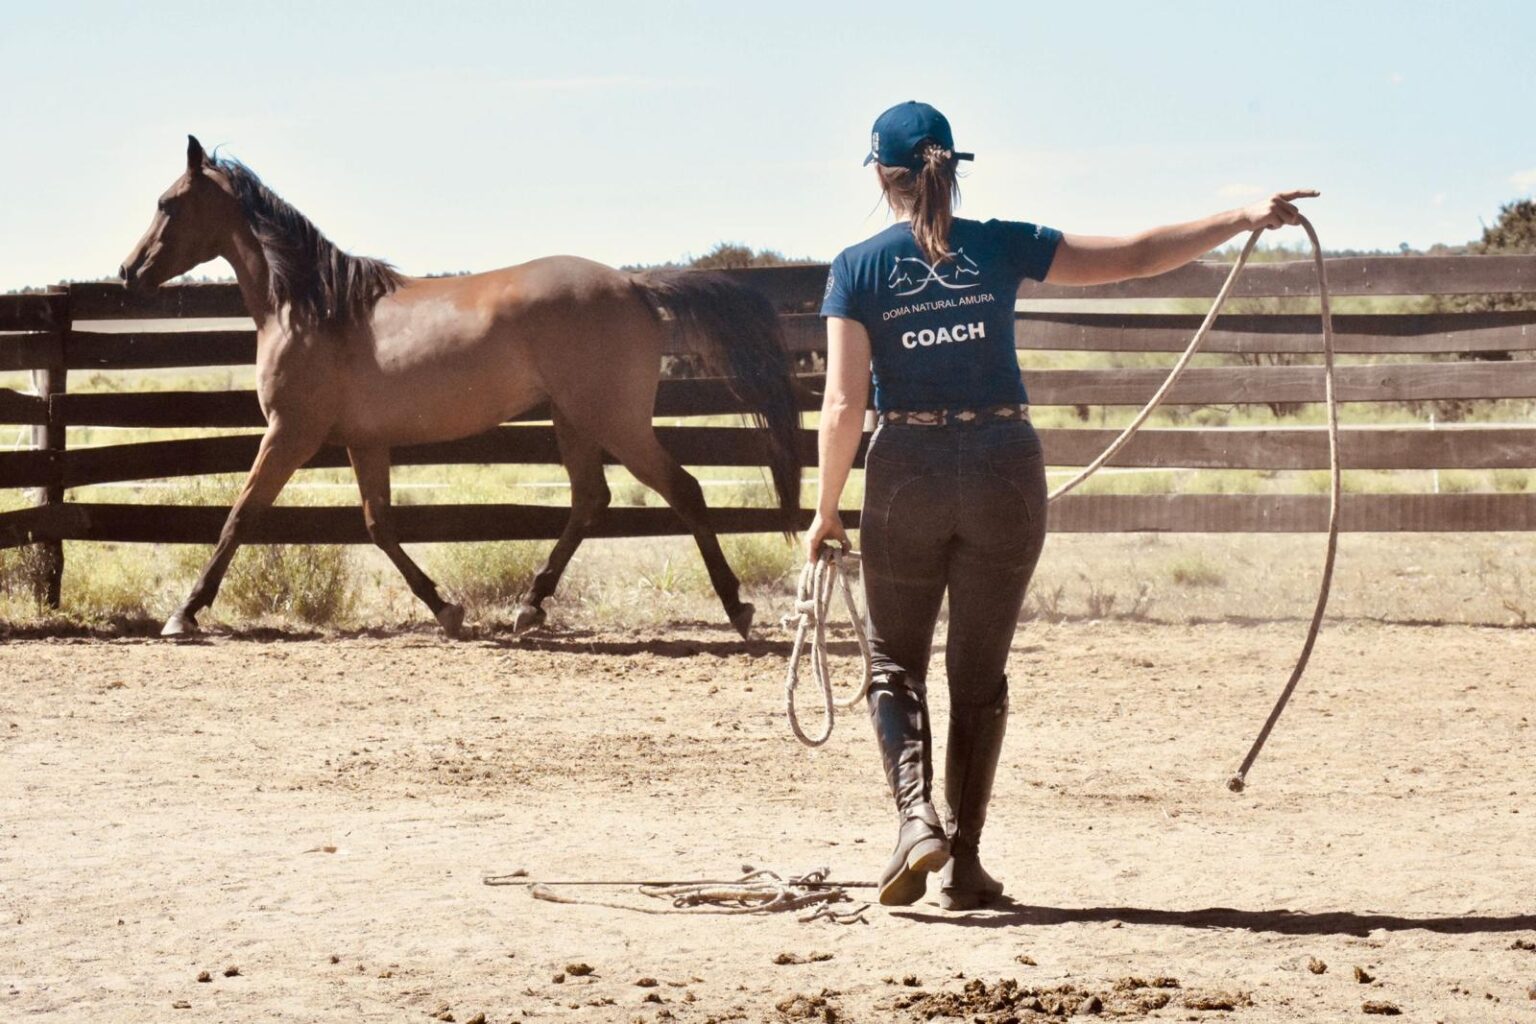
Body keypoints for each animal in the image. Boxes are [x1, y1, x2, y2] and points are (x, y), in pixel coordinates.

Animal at [118, 136, 802, 640]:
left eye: (168, 203)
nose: (129, 272)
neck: (313, 309)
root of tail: (636, 286)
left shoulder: (290, 434)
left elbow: (240, 515)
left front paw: (183, 614)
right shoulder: (363, 443)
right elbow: (378, 525)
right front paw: (446, 610)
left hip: (616, 421)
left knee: (682, 490)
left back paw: (738, 610)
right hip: (573, 418)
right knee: (590, 500)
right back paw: (530, 607)